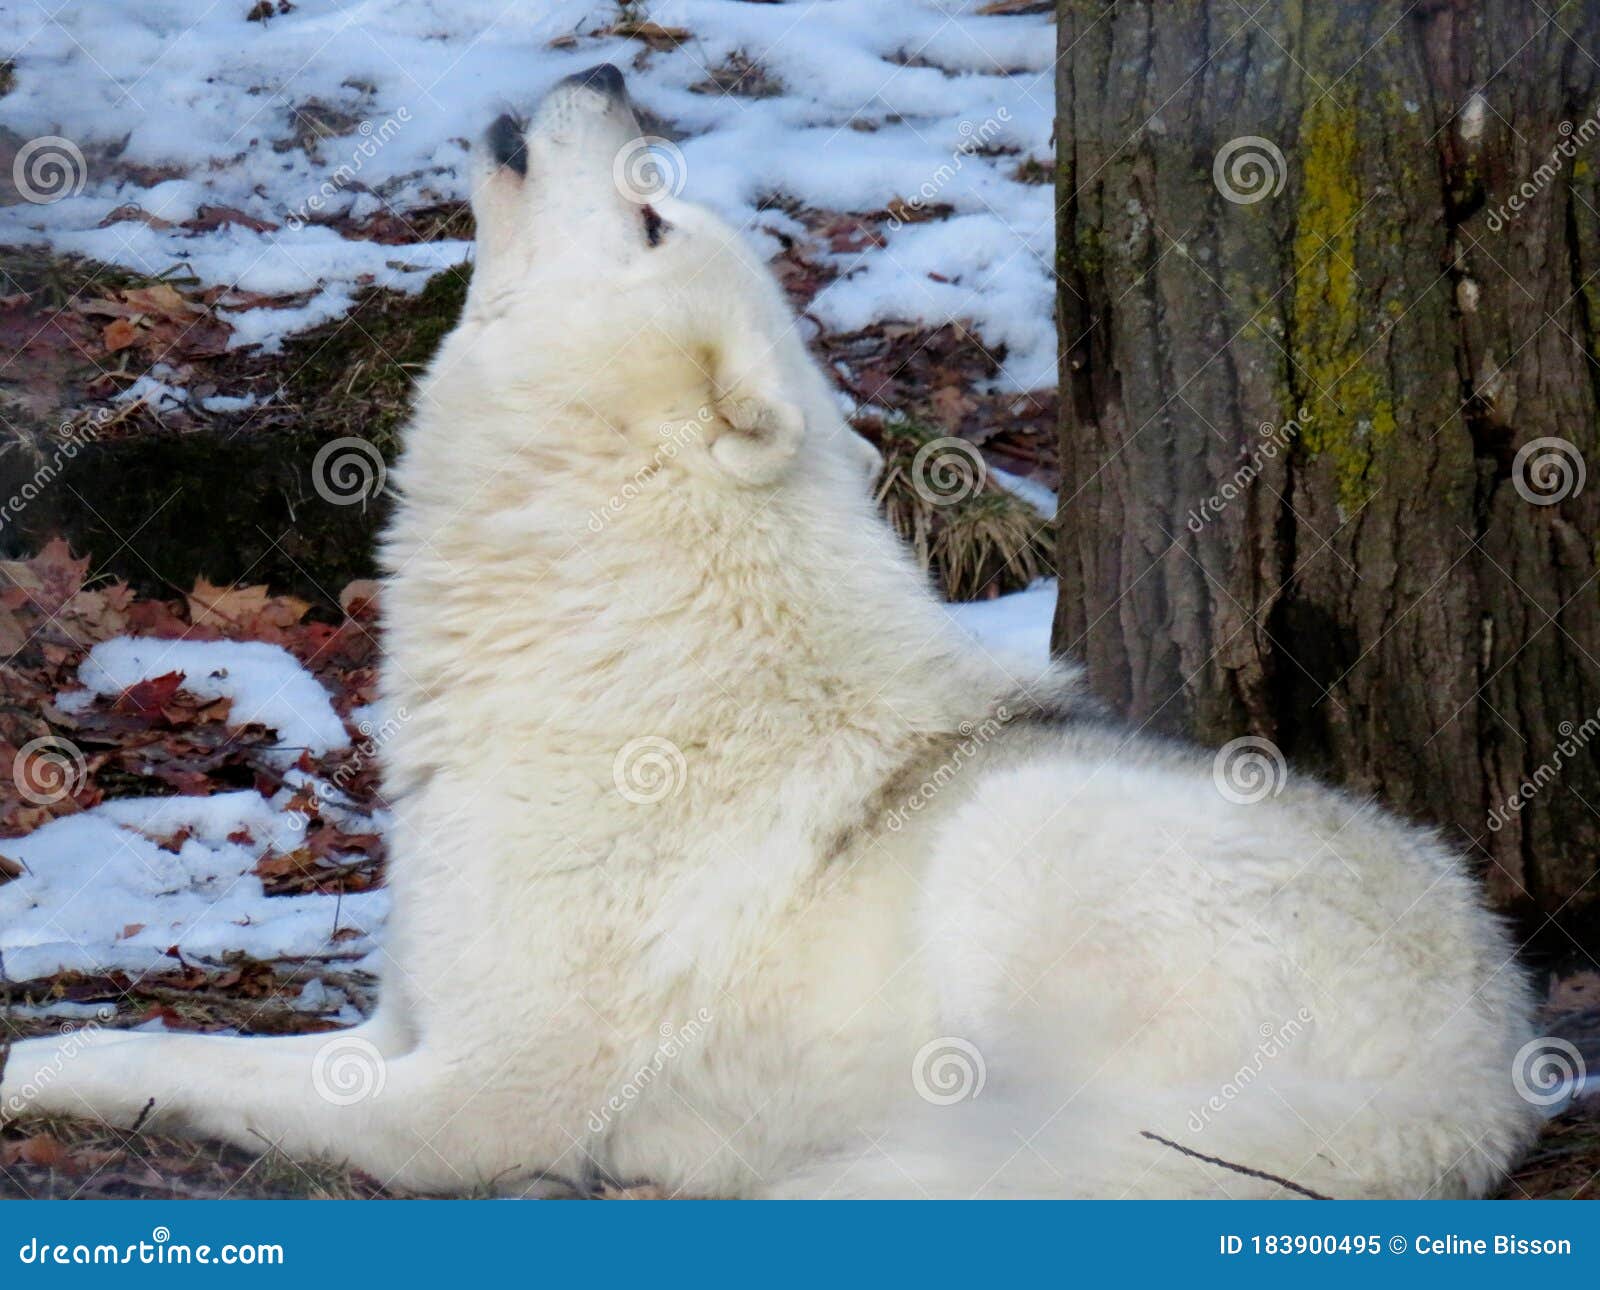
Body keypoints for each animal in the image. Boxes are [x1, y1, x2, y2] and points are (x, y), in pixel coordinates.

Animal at [0, 64, 1541, 1198]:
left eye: (651, 220)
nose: (610, 69)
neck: (609, 601)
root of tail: (1480, 1080)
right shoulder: (400, 1022)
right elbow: (171, 1039)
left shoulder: (471, 1096)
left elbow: (186, 1066)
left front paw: (31, 1079)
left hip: (1018, 858)